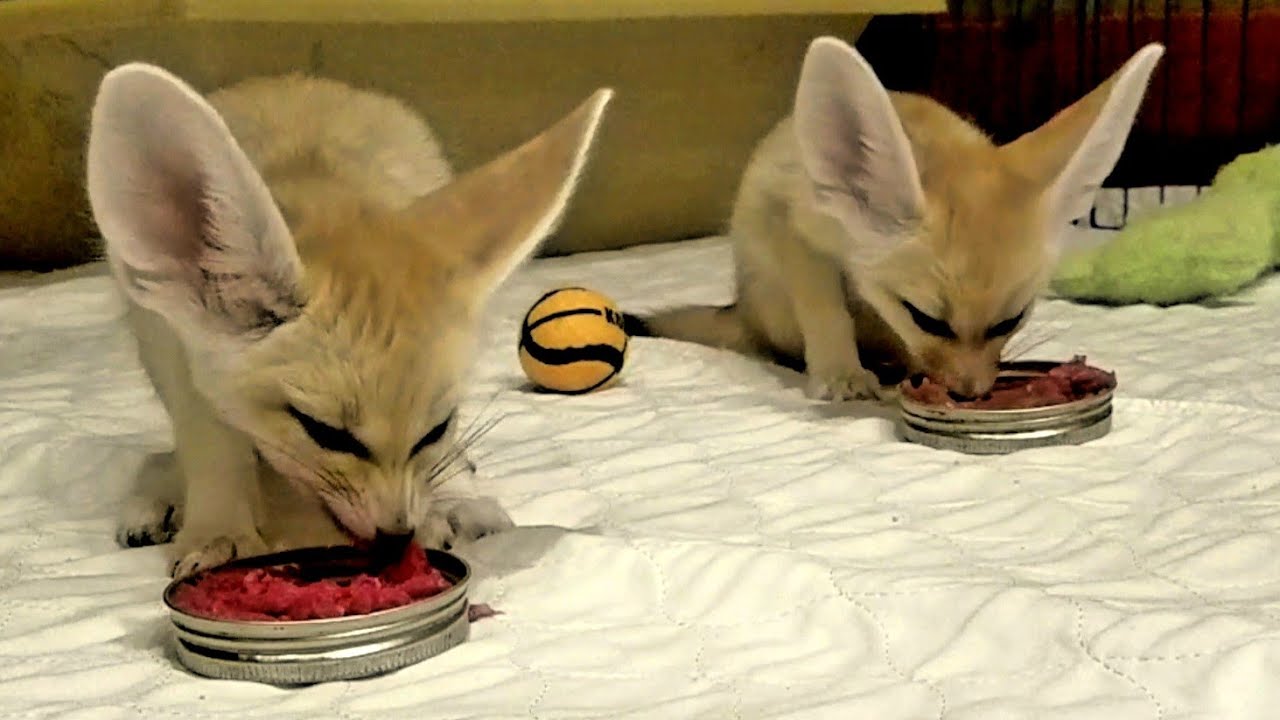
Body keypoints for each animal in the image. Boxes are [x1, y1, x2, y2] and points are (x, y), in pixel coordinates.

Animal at [85, 63, 612, 579]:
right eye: (326, 433)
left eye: (435, 430)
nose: (397, 536)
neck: (321, 186)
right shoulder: (181, 355)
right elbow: (215, 450)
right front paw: (220, 537)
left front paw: (444, 508)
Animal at [625, 36, 1164, 402]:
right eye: (926, 318)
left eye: (1011, 320)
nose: (970, 394)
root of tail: (741, 311)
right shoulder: (794, 224)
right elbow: (826, 311)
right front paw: (841, 374)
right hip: (773, 304)